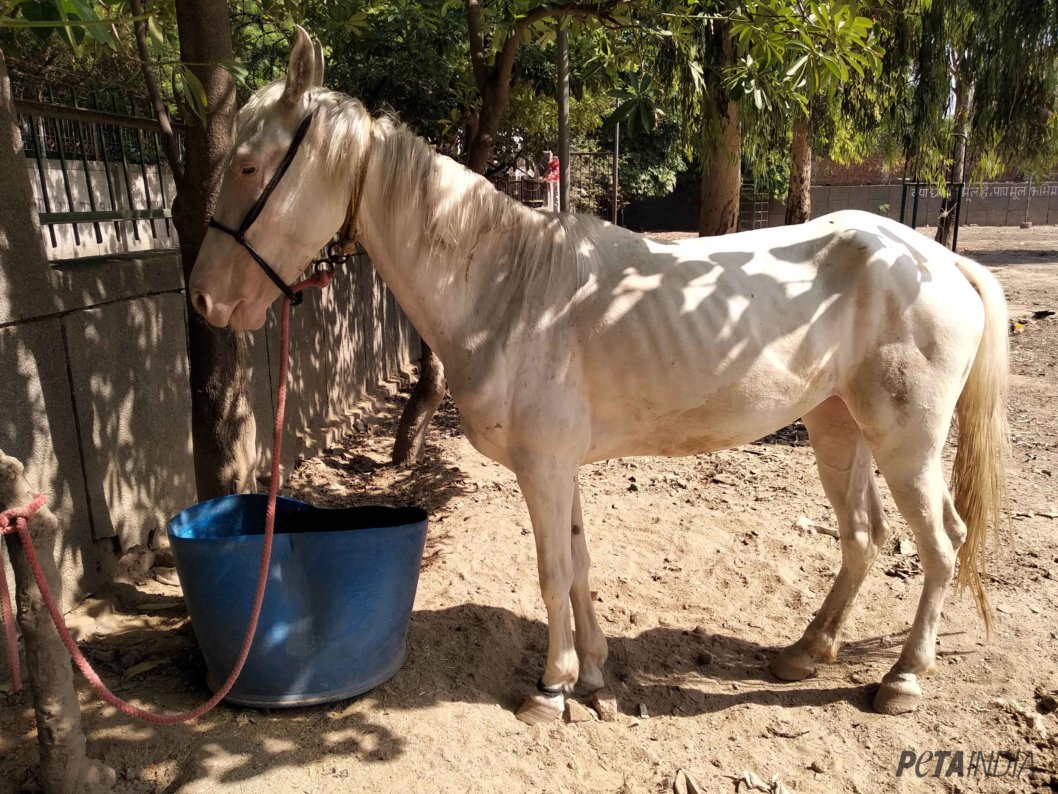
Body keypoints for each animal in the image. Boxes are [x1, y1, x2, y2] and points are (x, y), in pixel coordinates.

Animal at [189, 27, 1009, 725]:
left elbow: (553, 569)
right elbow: (579, 563)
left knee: (943, 543)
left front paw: (550, 689)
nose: (204, 298)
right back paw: (806, 652)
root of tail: (938, 259)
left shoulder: (544, 466)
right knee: (863, 535)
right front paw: (591, 674)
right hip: (839, 425)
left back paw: (903, 679)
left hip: (906, 443)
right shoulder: (561, 468)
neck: (507, 288)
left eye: (249, 166)